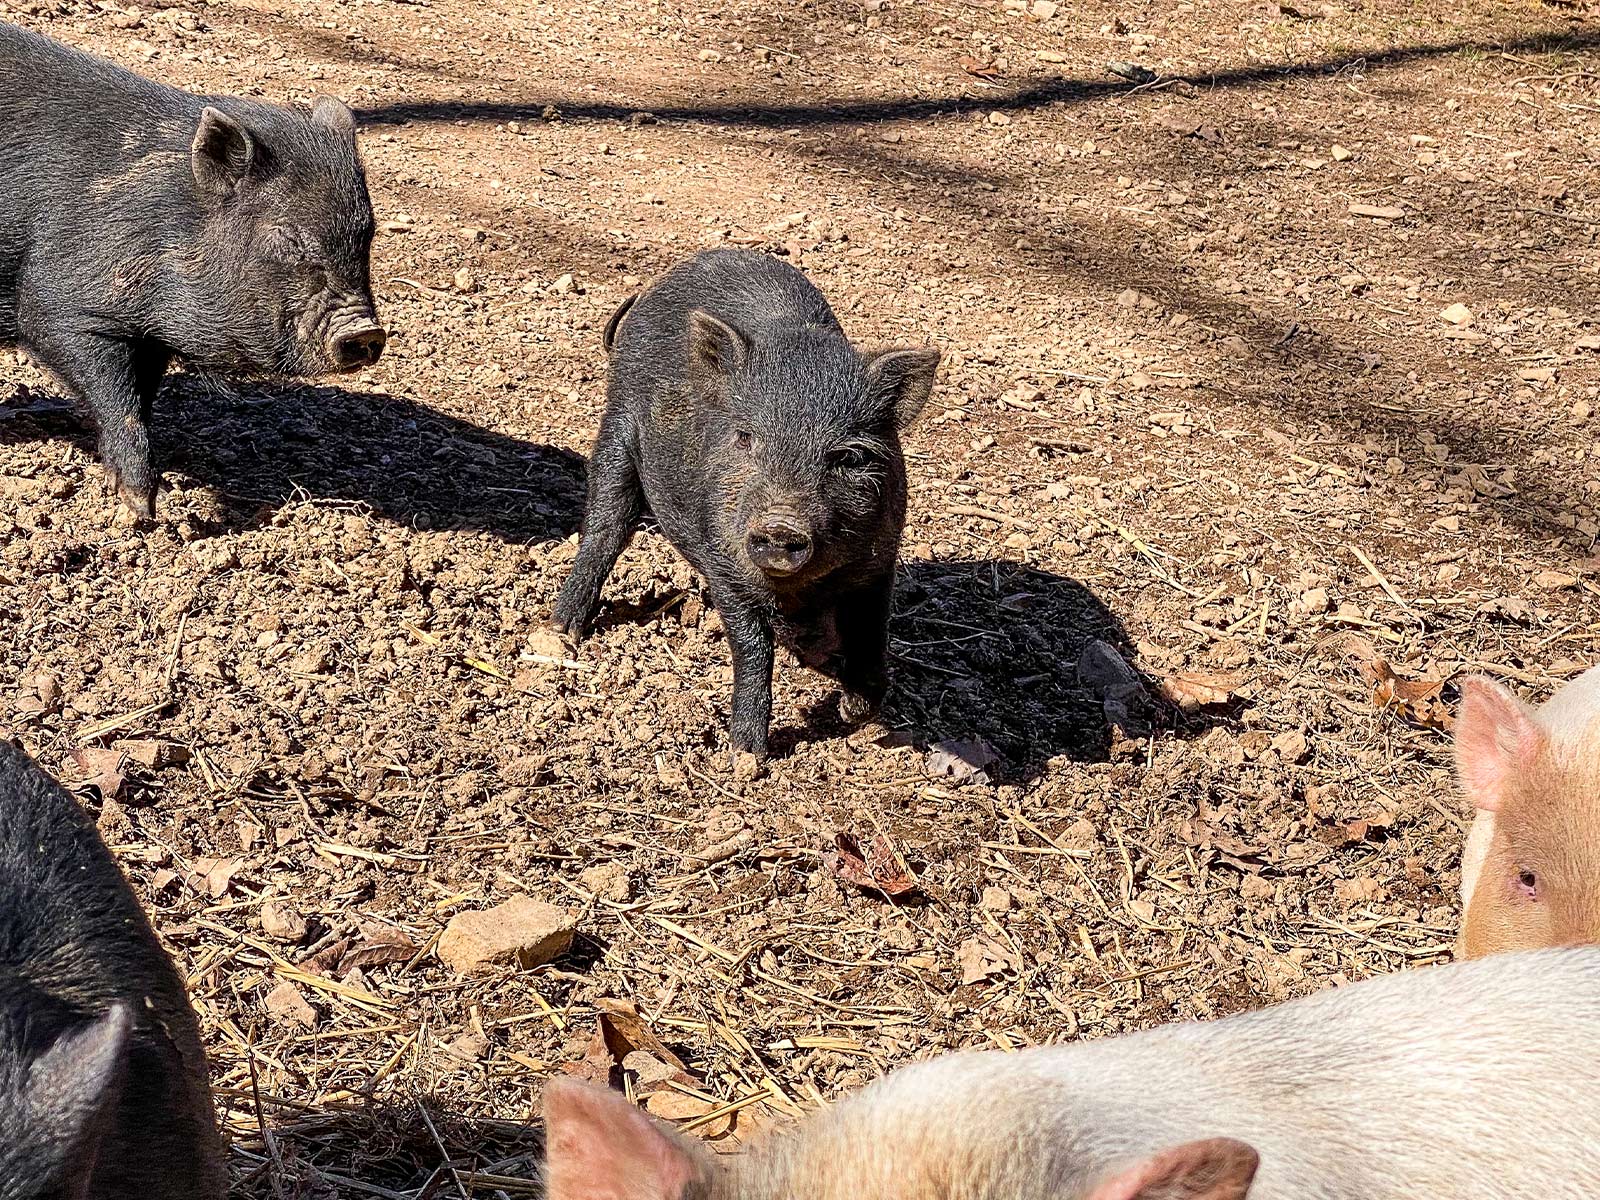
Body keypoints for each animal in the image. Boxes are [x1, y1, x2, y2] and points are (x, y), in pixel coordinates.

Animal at [0, 20, 385, 518]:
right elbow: (117, 398)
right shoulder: (62, 308)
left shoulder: (150, 334)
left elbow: (143, 395)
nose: (367, 332)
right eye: (288, 237)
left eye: (367, 236)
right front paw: (144, 509)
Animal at [551, 249, 940, 757]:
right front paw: (746, 753)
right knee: (606, 526)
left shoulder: (878, 560)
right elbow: (752, 647)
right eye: (745, 438)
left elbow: (873, 634)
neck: (796, 591)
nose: (780, 524)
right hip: (618, 423)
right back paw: (562, 629)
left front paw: (854, 712)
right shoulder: (723, 563)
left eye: (849, 457)